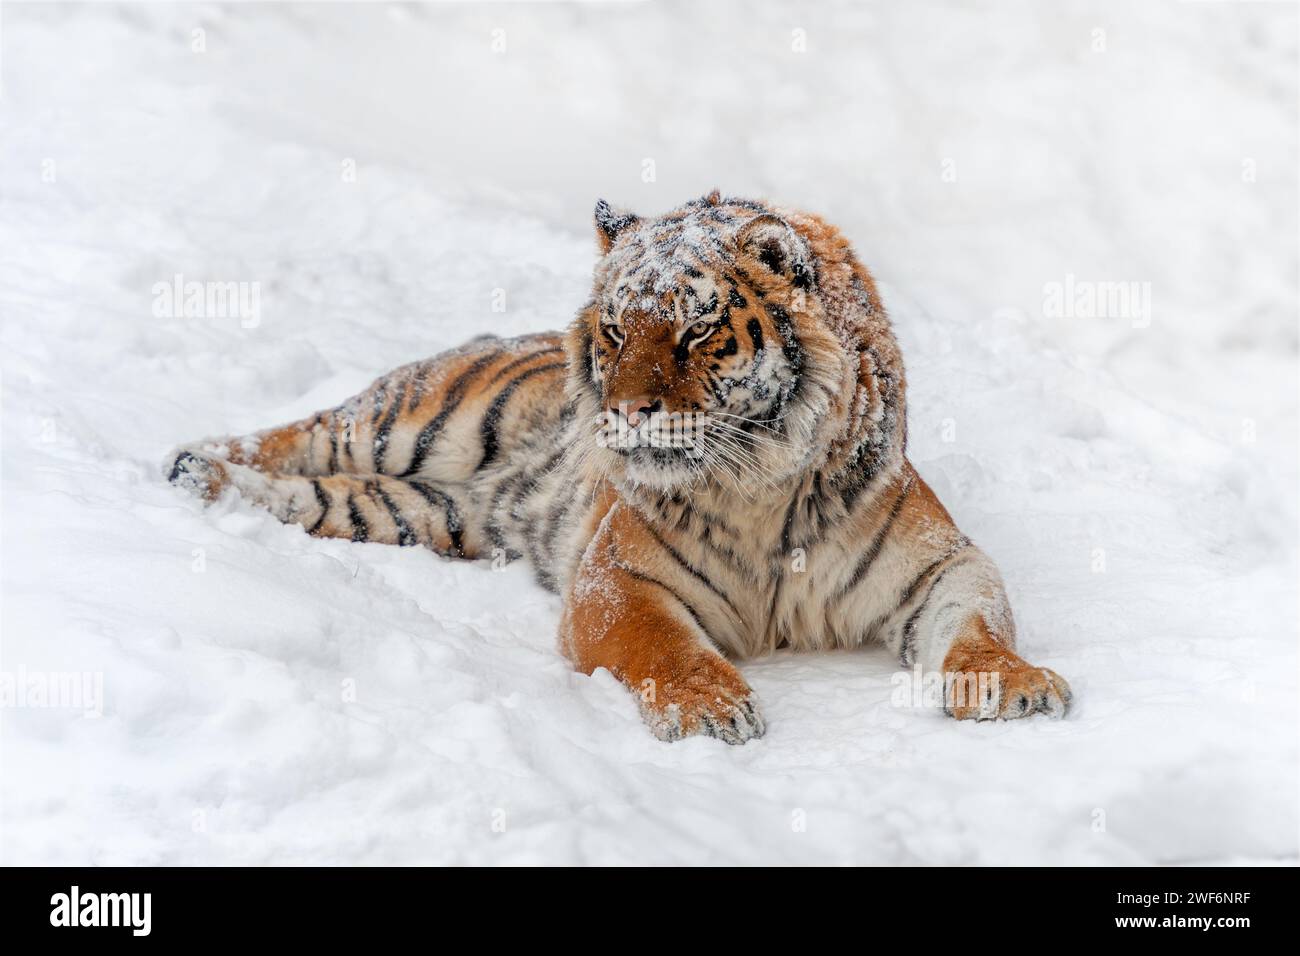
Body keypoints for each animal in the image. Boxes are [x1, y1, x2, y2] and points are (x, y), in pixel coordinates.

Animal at [166, 191, 1073, 744]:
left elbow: (977, 626)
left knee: (318, 496)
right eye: (613, 329)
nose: (625, 409)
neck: (763, 487)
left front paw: (1015, 686)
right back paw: (191, 462)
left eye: (697, 330)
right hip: (414, 418)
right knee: (304, 429)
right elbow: (662, 646)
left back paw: (210, 485)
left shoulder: (941, 564)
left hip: (418, 510)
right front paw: (712, 709)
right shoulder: (617, 578)